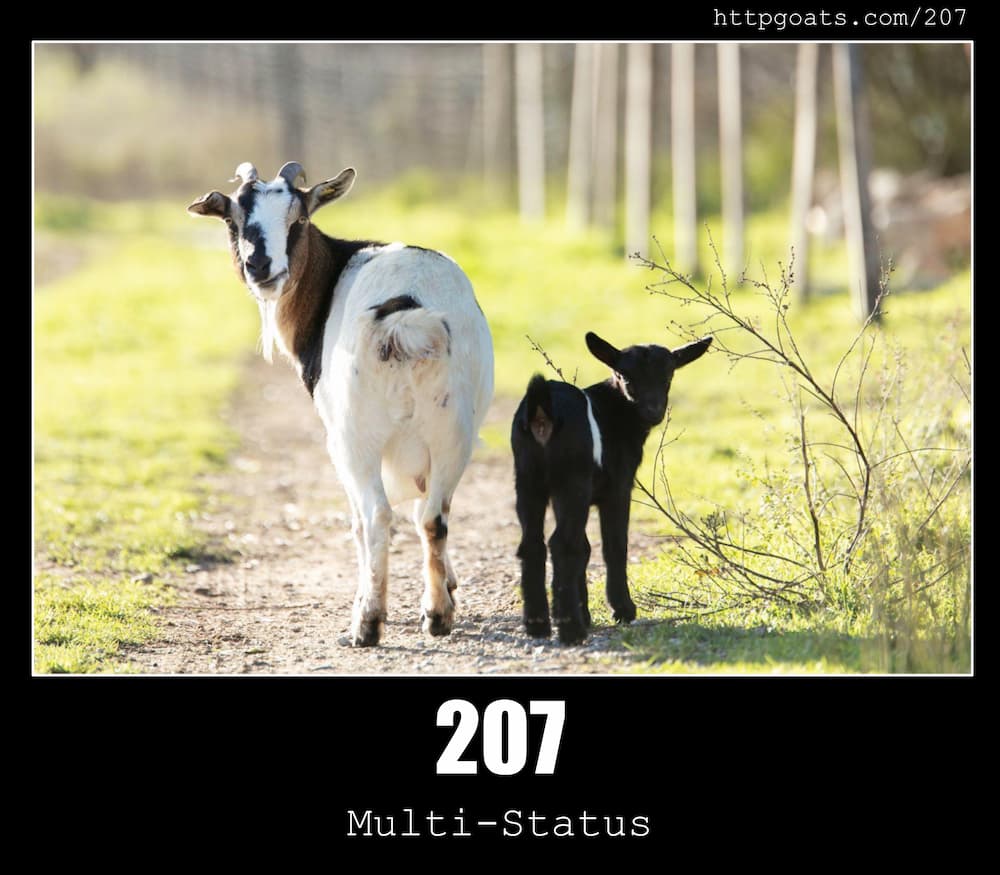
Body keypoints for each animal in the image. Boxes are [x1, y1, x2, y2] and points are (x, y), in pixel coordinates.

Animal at [188, 162, 494, 647]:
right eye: (233, 220)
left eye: (298, 219)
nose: (260, 265)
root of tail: (405, 317)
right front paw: (448, 585)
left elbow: (358, 521)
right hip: (453, 429)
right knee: (432, 516)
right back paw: (437, 615)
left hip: (355, 437)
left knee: (376, 516)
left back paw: (366, 623)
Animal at [510, 331, 712, 644]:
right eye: (624, 375)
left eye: (669, 375)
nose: (653, 411)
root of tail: (542, 410)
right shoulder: (618, 488)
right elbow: (614, 545)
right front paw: (623, 610)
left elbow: (585, 548)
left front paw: (588, 613)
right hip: (572, 479)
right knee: (562, 543)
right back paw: (571, 629)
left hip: (528, 479)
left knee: (533, 543)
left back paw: (538, 625)